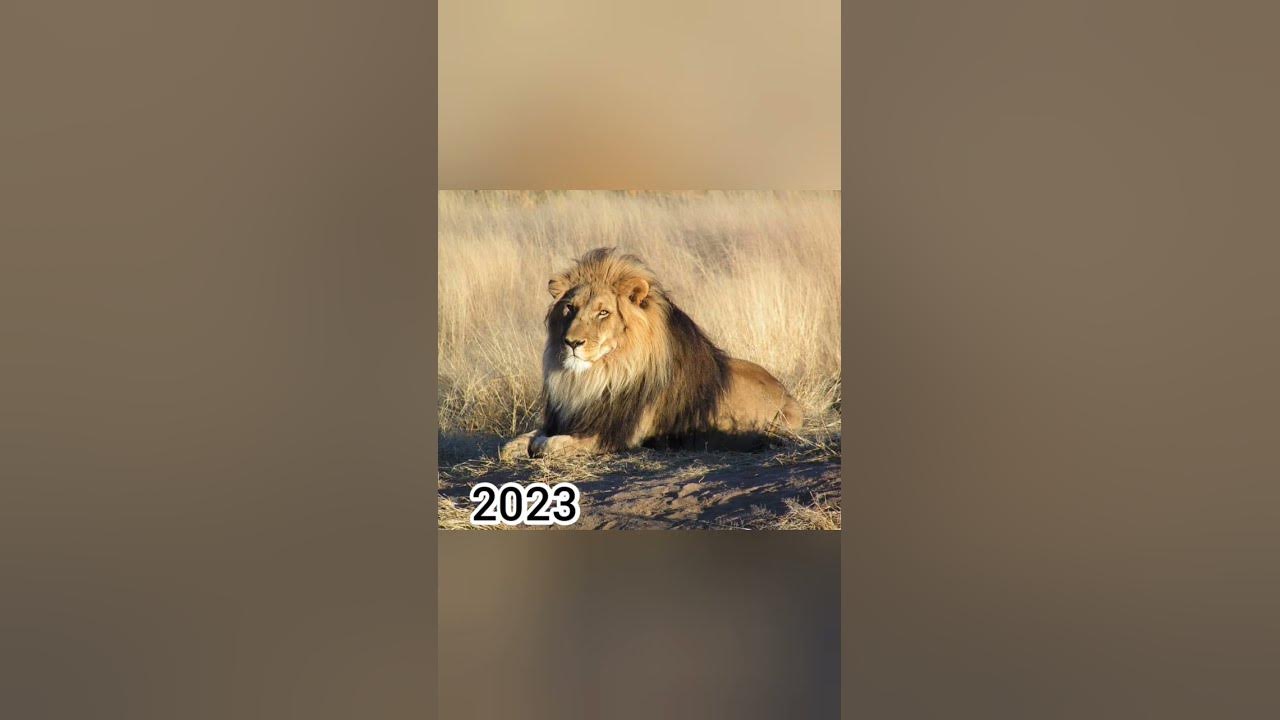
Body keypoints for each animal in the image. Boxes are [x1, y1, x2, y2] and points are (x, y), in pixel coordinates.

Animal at [501, 248, 804, 460]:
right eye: (570, 308)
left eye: (603, 312)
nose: (571, 342)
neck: (598, 376)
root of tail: (789, 395)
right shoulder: (567, 417)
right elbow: (517, 441)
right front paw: (517, 445)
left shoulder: (616, 435)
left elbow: (550, 444)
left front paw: (541, 444)